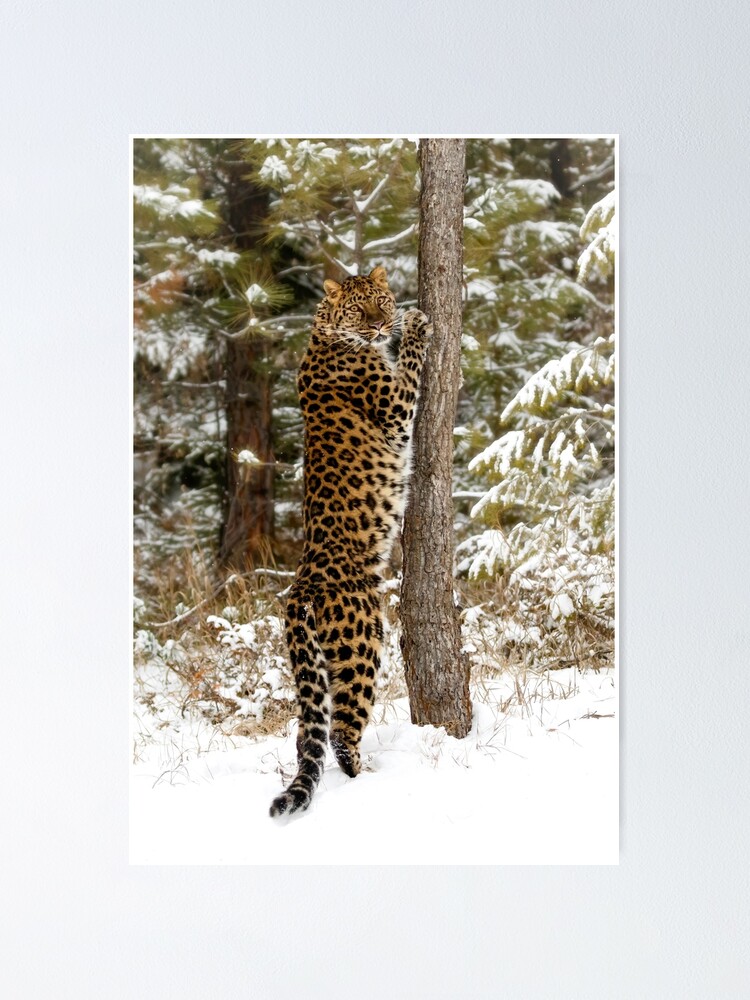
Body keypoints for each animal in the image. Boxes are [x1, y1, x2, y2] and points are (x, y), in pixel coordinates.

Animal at [269, 265, 431, 817]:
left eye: (381, 298)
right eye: (362, 309)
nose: (382, 322)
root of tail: (299, 590)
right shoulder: (397, 407)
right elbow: (412, 362)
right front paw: (417, 322)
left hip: (314, 670)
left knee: (307, 736)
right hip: (363, 642)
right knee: (342, 730)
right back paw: (370, 778)